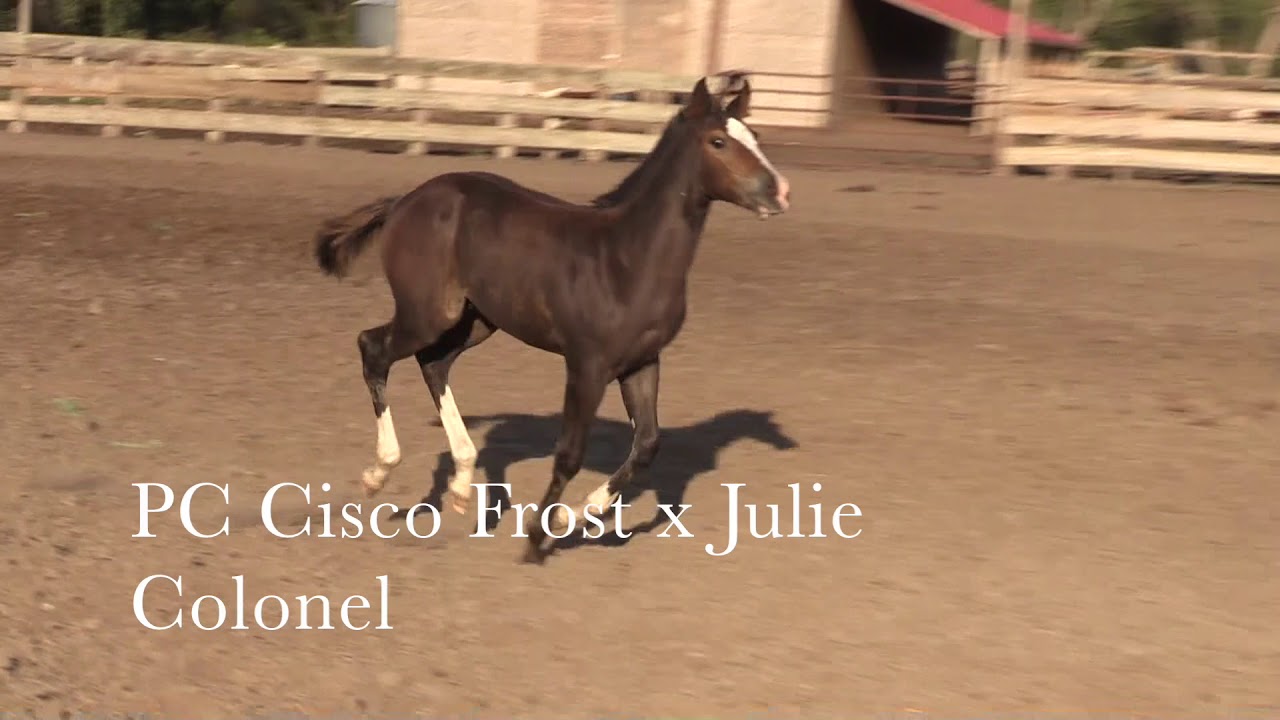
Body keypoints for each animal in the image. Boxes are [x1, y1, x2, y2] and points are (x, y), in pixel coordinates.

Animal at [312, 77, 790, 564]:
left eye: (756, 136)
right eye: (718, 142)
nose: (780, 191)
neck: (628, 257)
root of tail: (405, 201)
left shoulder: (642, 362)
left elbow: (647, 445)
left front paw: (569, 516)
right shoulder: (587, 365)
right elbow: (570, 454)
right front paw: (536, 536)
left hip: (475, 320)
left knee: (434, 365)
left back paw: (462, 482)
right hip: (428, 313)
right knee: (374, 348)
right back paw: (381, 471)